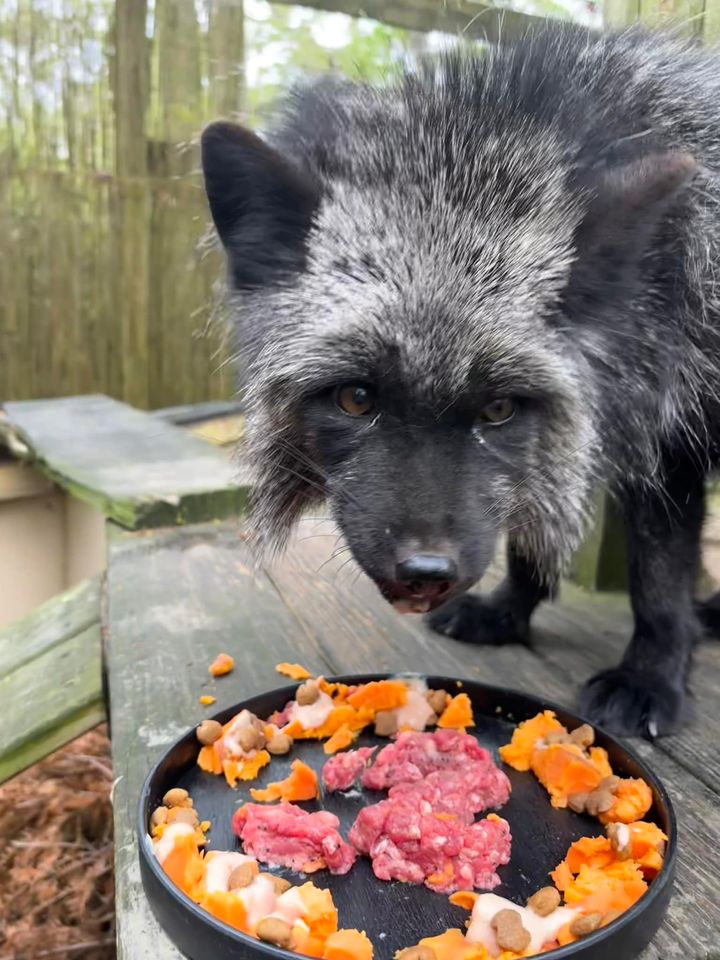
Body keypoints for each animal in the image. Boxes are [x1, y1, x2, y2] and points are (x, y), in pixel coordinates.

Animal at [200, 24, 720, 739]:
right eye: (355, 398)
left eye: (499, 408)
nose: (425, 574)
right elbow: (530, 531)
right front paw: (507, 607)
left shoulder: (669, 437)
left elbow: (659, 576)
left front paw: (650, 676)